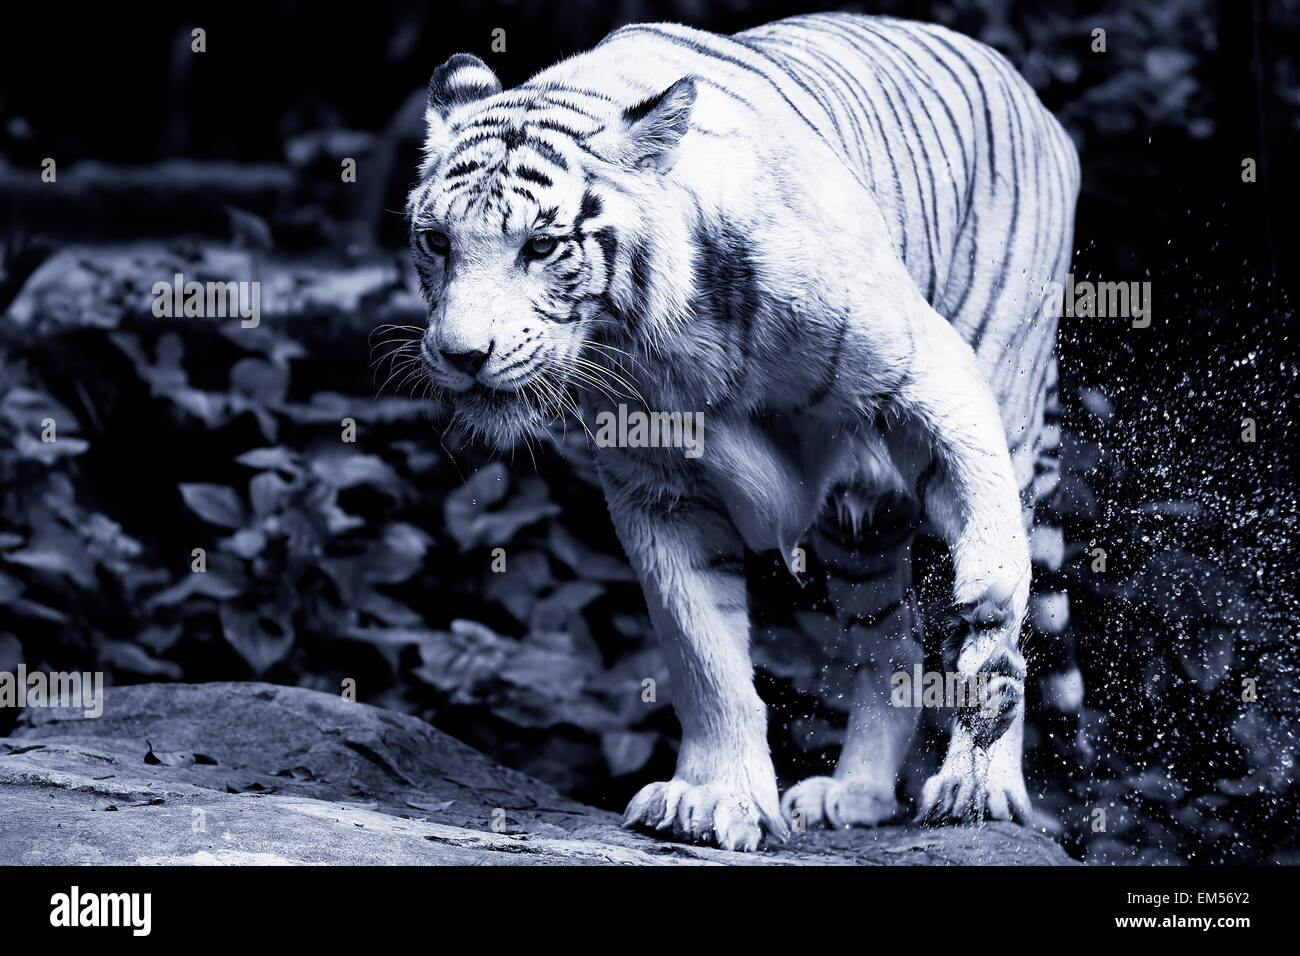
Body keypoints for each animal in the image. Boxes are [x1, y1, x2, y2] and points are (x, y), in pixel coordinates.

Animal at [404, 11, 1081, 851]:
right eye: (437, 240)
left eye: (542, 245)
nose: (462, 356)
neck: (656, 333)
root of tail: (1028, 91)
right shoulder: (659, 492)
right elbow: (706, 658)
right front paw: (714, 799)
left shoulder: (931, 373)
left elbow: (993, 574)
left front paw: (984, 657)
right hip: (858, 530)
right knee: (887, 643)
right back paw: (855, 794)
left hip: (1006, 388)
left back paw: (980, 791)